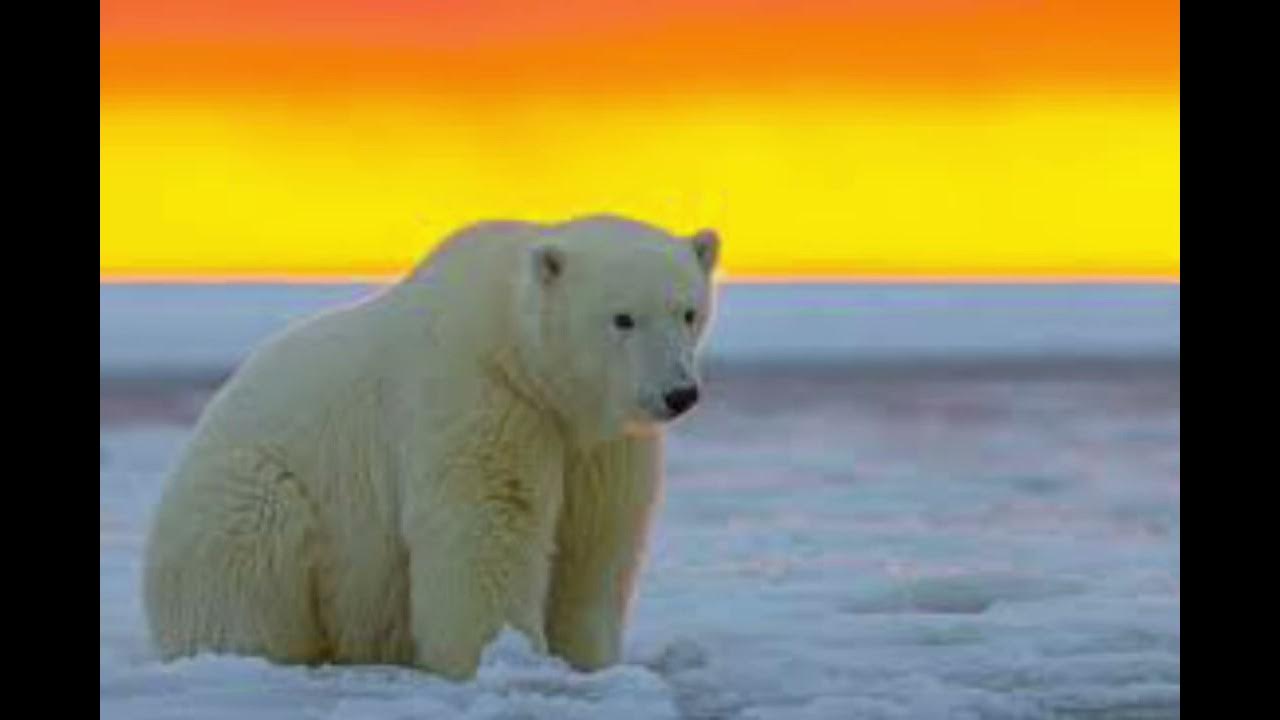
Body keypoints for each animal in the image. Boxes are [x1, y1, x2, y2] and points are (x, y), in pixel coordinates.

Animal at [142, 215, 720, 680]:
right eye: (622, 317)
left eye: (688, 312)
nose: (679, 393)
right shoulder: (479, 393)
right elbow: (489, 520)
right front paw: (495, 657)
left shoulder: (598, 445)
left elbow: (597, 535)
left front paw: (589, 659)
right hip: (244, 490)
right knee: (248, 550)